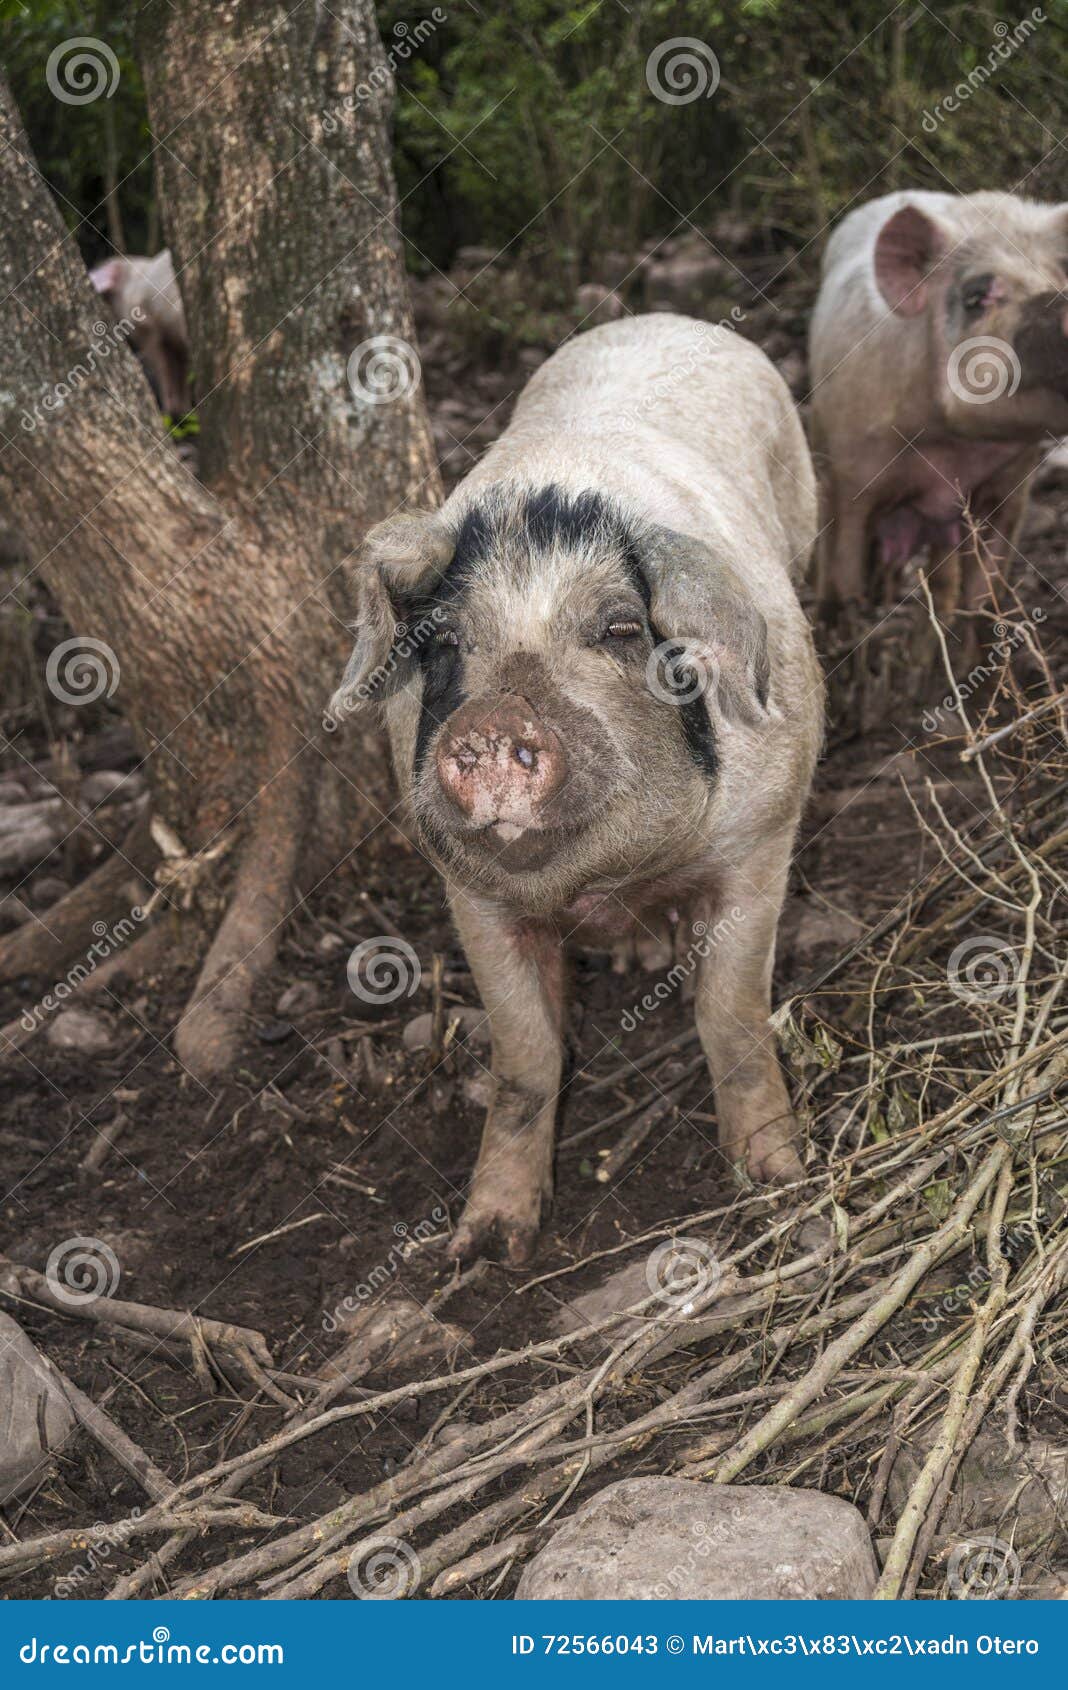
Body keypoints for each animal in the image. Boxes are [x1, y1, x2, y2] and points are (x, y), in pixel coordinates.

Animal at [89, 249, 191, 420]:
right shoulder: (172, 340)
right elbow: (180, 369)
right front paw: (184, 412)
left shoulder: (146, 329)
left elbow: (163, 367)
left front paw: (170, 412)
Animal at [334, 314, 824, 1263]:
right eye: (444, 640)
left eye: (622, 629)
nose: (493, 718)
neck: (603, 880)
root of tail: (661, 318)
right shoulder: (469, 892)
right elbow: (526, 1059)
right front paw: (485, 1247)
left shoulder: (762, 839)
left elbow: (732, 1016)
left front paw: (776, 1184)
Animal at [810, 190, 1068, 619]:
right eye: (976, 297)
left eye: (1060, 277)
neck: (951, 448)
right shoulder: (851, 473)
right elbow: (848, 587)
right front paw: (851, 618)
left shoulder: (1012, 485)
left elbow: (982, 597)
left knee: (943, 579)